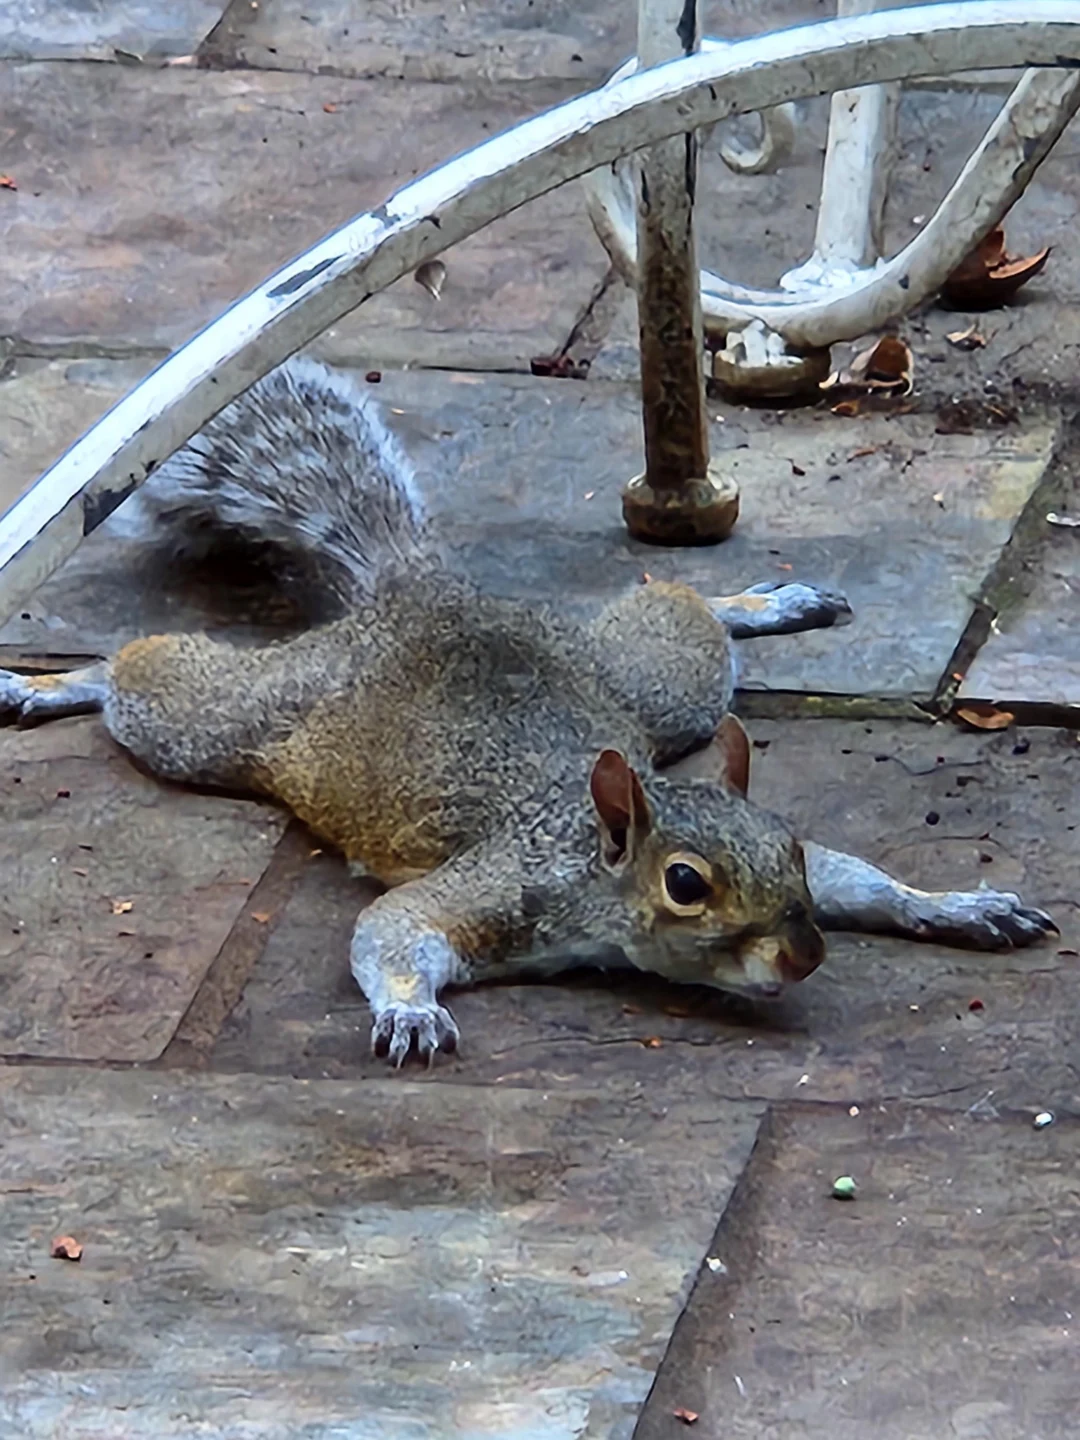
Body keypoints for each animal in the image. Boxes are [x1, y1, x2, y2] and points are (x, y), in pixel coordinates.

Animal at [0, 359, 1056, 1065]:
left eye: (787, 848)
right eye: (685, 884)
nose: (803, 954)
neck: (591, 858)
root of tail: (421, 591)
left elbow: (860, 880)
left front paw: (956, 906)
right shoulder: (498, 886)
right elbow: (392, 926)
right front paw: (409, 1012)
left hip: (652, 682)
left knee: (678, 616)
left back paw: (763, 604)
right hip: (235, 720)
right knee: (141, 676)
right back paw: (54, 684)